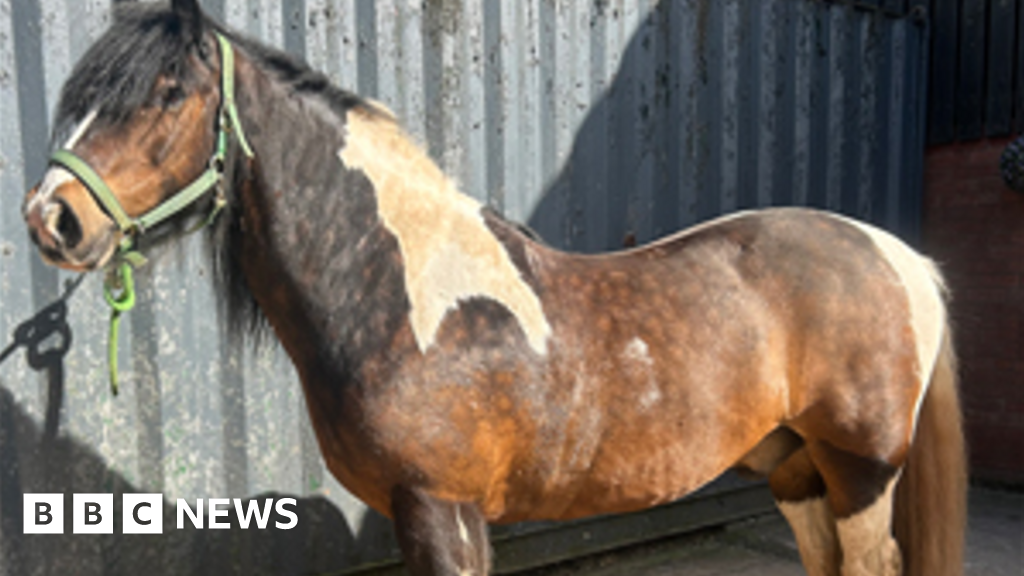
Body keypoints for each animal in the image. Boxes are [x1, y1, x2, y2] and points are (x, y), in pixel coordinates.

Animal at [21, 1, 965, 575]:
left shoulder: (438, 505)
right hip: (796, 470)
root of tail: (897, 256)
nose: (50, 218)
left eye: (168, 91)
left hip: (860, 472)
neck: (401, 301)